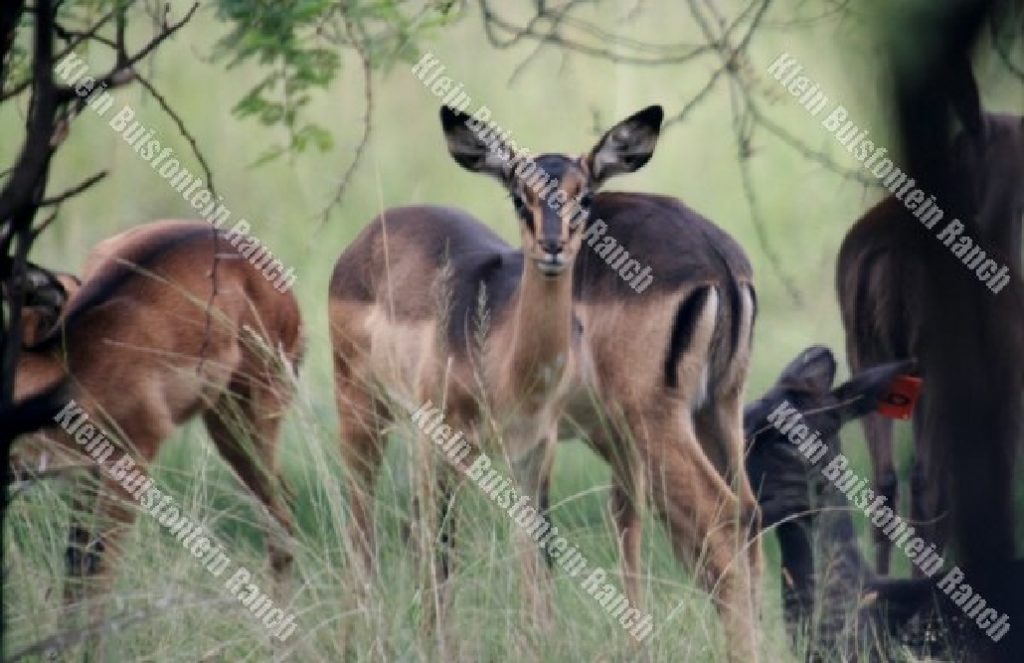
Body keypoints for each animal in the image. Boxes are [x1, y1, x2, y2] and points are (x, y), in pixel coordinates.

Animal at [12, 219, 303, 603]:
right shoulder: (87, 477)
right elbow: (76, 575)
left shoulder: (128, 464)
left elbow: (97, 575)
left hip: (243, 423)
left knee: (282, 520)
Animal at [330, 105, 762, 660]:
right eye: (520, 196)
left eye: (585, 196)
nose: (553, 247)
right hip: (715, 411)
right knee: (743, 516)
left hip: (656, 421)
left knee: (722, 518)